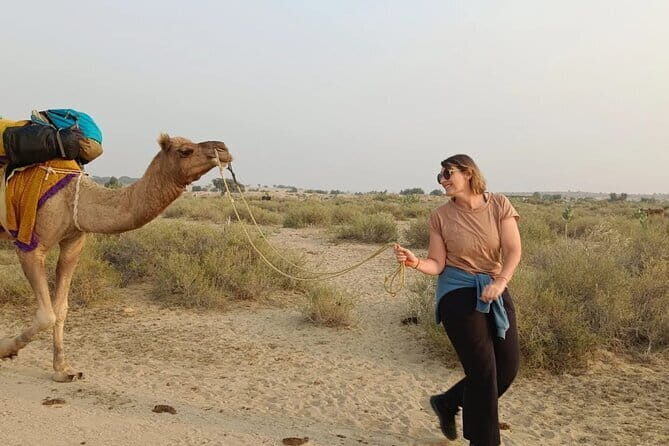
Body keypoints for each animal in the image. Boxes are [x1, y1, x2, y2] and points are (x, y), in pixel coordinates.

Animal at [0, 134, 232, 381]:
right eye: (185, 150)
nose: (223, 148)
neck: (74, 197)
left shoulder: (73, 242)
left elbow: (60, 309)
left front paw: (63, 370)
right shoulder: (30, 247)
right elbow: (47, 315)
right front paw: (6, 350)